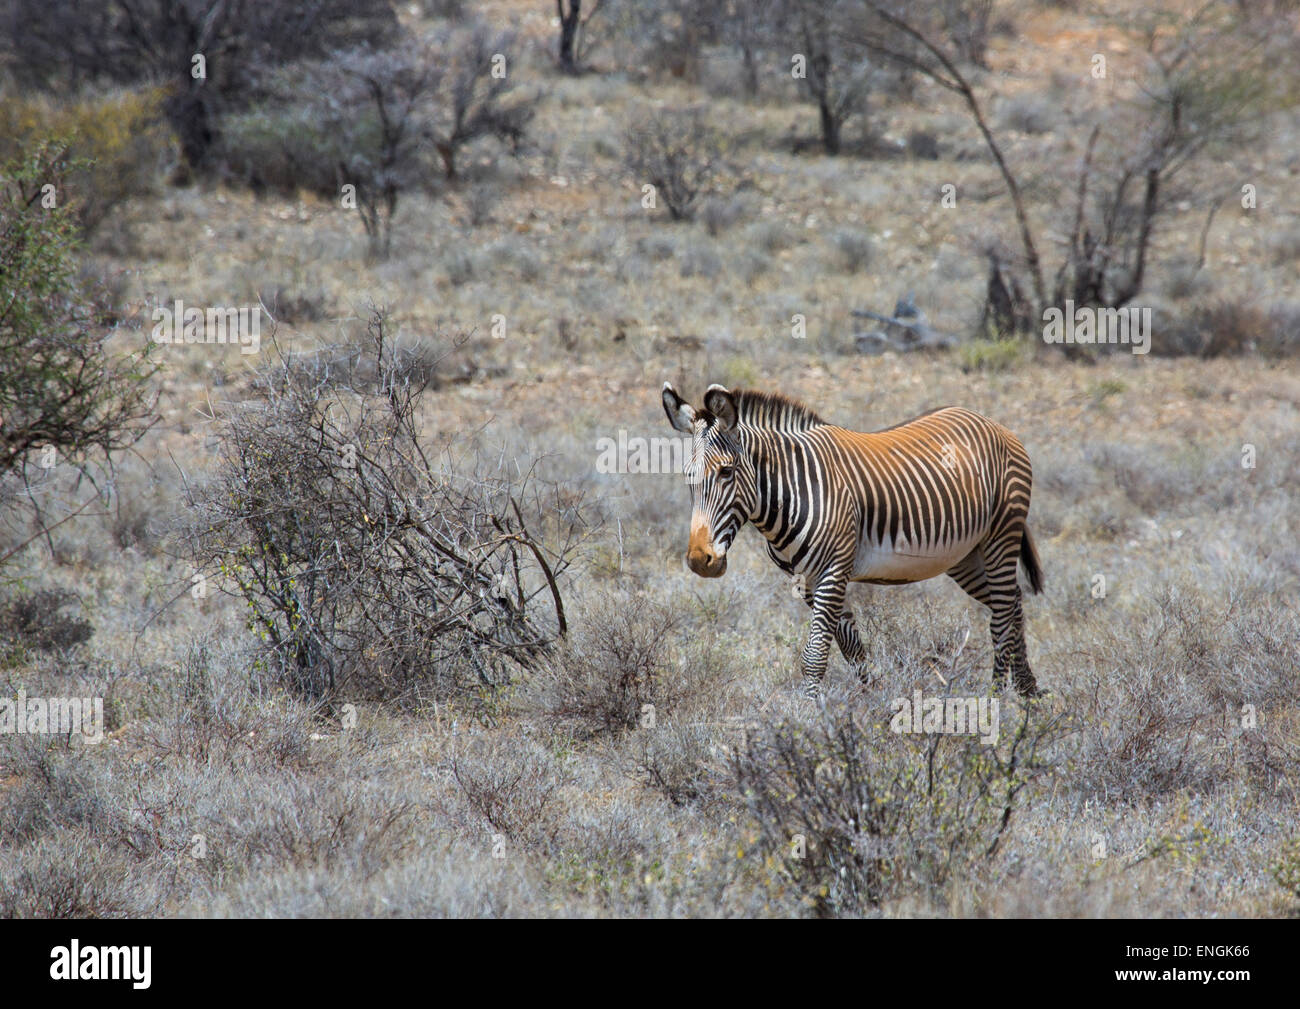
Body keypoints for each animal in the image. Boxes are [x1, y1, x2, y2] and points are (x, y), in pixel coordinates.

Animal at [662, 382, 1044, 698]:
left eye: (726, 472)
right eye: (687, 476)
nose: (699, 560)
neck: (794, 491)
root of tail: (989, 421)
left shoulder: (833, 570)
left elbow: (814, 657)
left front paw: (811, 721)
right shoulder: (808, 580)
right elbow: (852, 651)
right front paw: (869, 706)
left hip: (1001, 534)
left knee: (1001, 616)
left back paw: (998, 699)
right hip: (965, 556)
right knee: (1013, 601)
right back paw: (1028, 694)